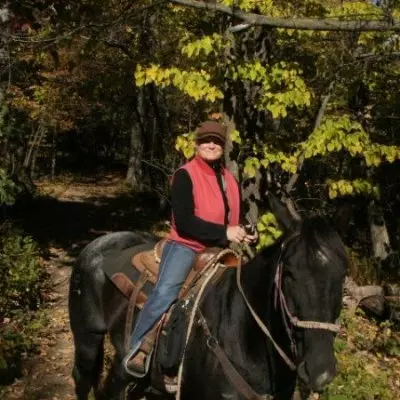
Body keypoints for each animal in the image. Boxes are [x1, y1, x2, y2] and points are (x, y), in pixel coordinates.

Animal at [69, 195, 346, 400]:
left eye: (342, 278)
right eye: (288, 273)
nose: (320, 371)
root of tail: (98, 243)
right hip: (87, 340)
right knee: (82, 380)